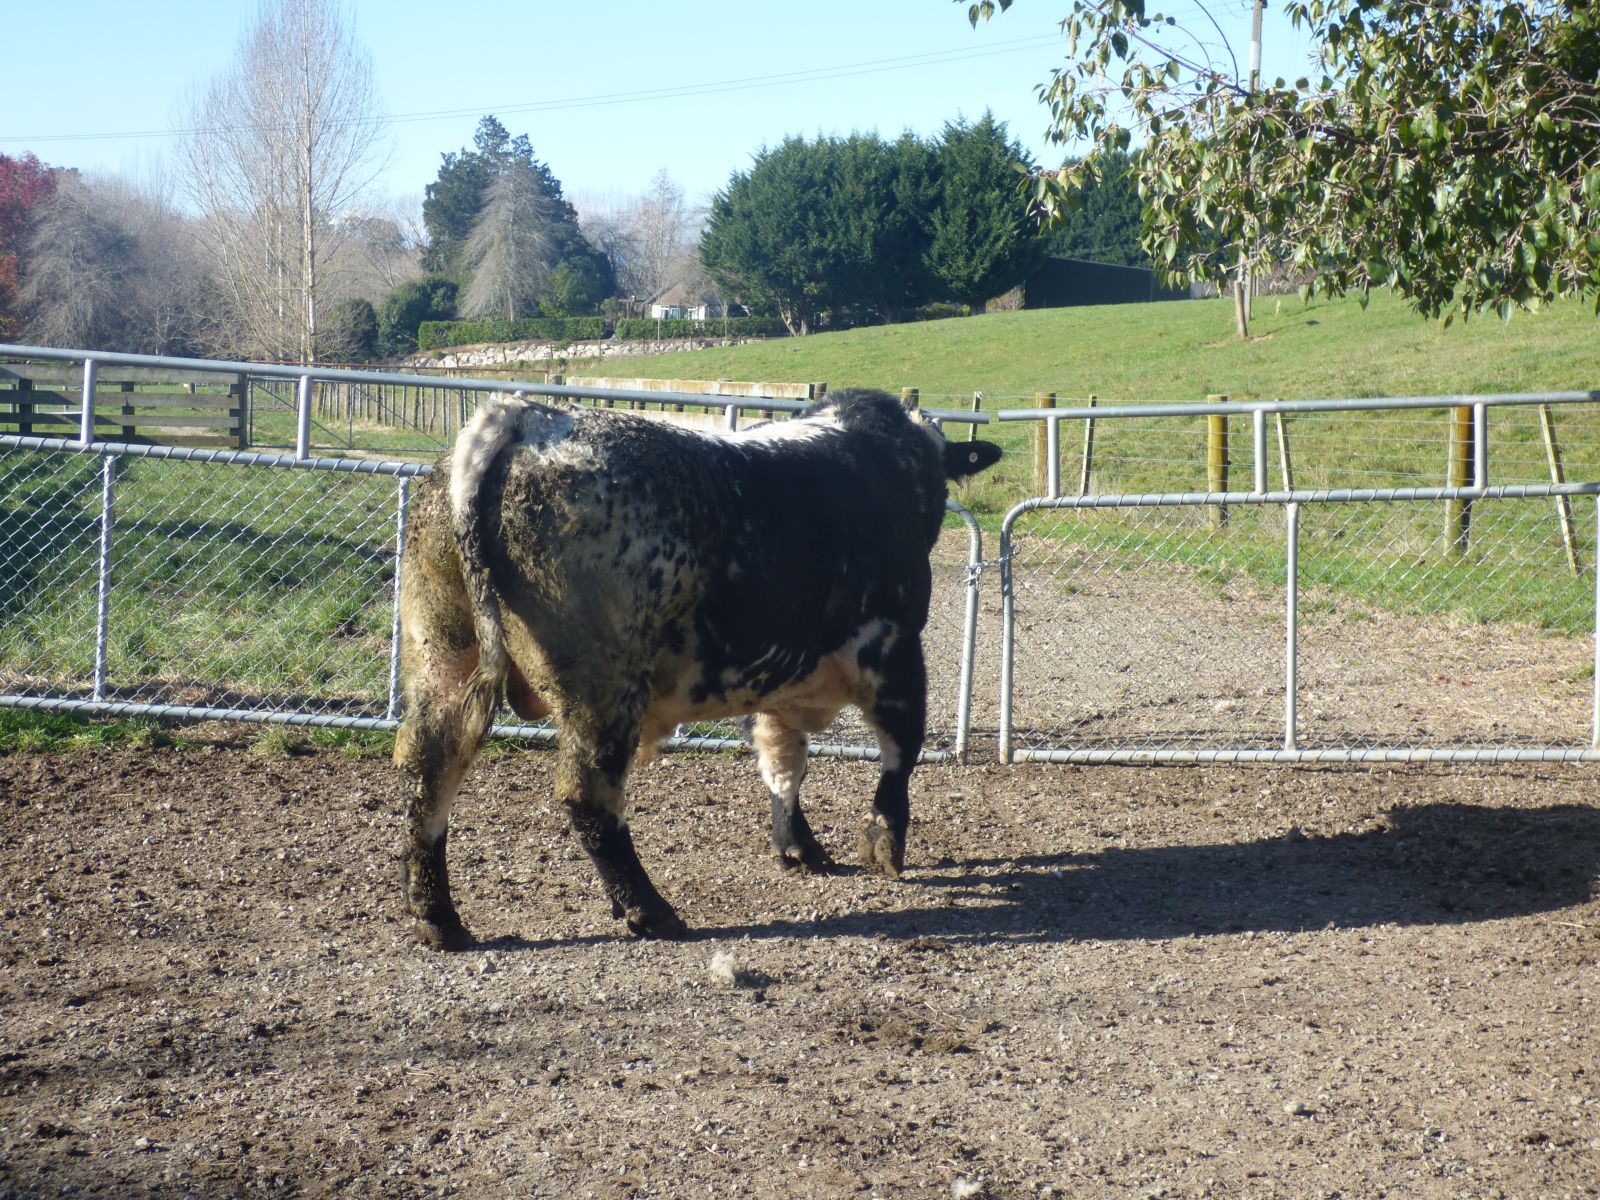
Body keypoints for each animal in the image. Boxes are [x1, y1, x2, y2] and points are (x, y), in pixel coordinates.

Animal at [393, 387, 1001, 950]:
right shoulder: (895, 648)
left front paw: (798, 845)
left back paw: (439, 918)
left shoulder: (778, 676)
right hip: (604, 689)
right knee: (587, 797)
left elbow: (782, 761)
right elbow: (901, 752)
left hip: (443, 658)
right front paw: (884, 844)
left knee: (429, 771)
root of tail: (523, 416)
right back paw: (650, 910)